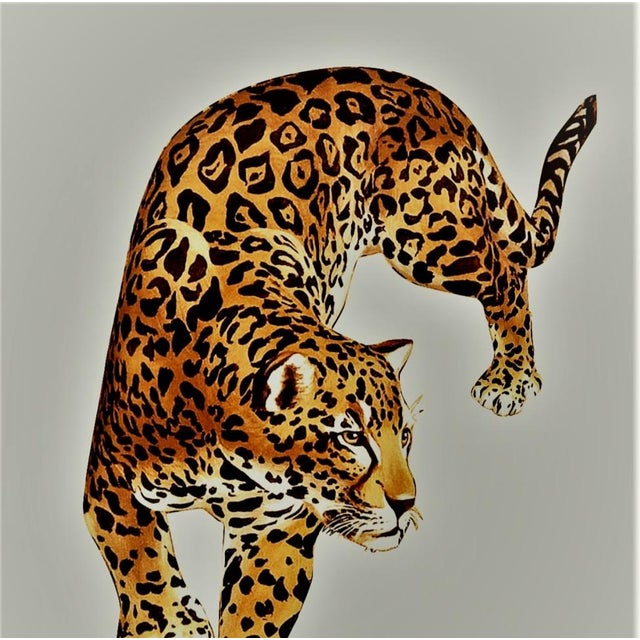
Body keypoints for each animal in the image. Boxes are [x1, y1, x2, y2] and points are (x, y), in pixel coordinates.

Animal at [84, 67, 596, 638]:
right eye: (350, 437)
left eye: (406, 437)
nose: (406, 503)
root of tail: (424, 90)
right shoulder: (108, 474)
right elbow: (135, 551)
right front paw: (165, 620)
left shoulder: (279, 524)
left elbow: (253, 610)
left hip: (429, 238)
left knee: (506, 274)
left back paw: (511, 377)